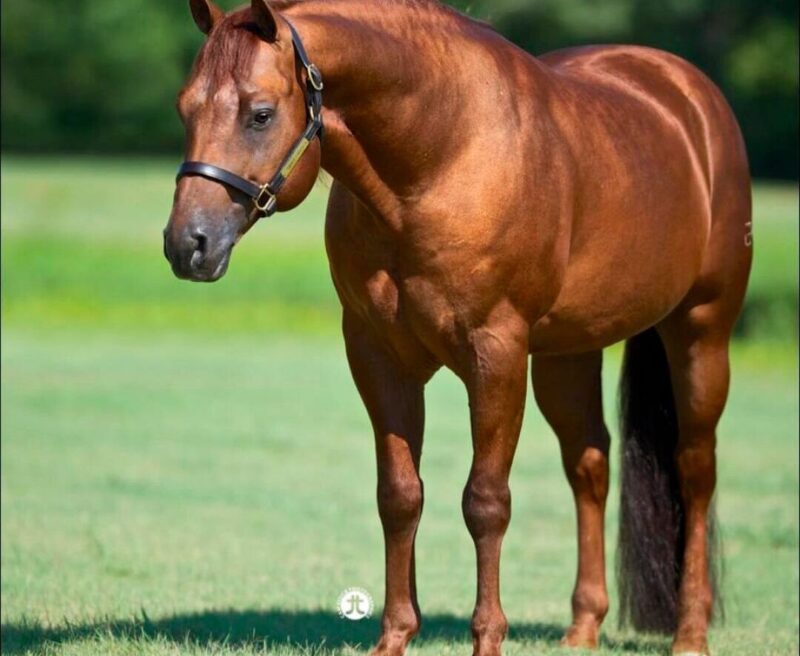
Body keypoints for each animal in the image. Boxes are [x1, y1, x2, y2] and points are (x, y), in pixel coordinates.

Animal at [163, 1, 752, 654]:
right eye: (185, 108)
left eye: (261, 114)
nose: (188, 244)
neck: (439, 159)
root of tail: (689, 96)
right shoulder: (378, 355)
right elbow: (399, 496)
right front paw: (394, 636)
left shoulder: (496, 356)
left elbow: (485, 502)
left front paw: (487, 638)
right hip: (568, 354)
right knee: (590, 465)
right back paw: (581, 629)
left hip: (701, 331)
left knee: (695, 470)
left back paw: (690, 633)